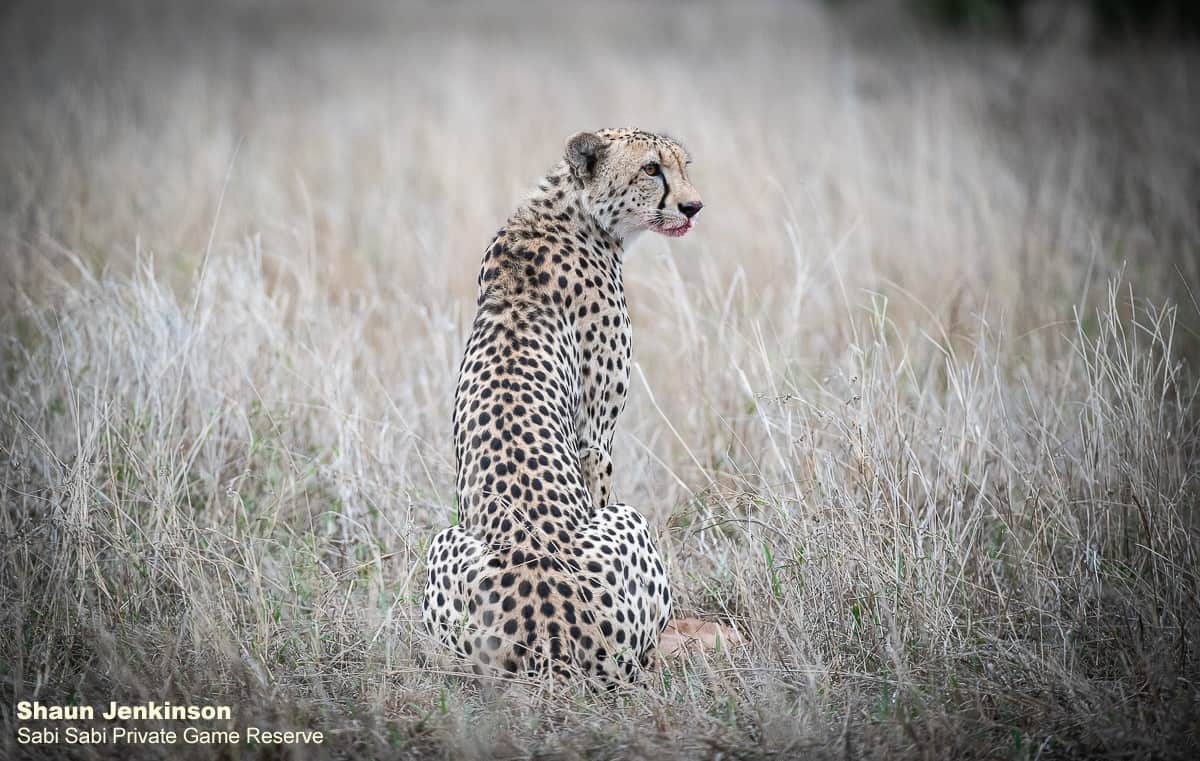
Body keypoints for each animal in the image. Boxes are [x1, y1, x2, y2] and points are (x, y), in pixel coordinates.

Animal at [420, 128, 703, 685]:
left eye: (683, 165)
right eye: (651, 169)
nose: (693, 206)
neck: (570, 213)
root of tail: (549, 642)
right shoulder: (596, 435)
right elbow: (598, 473)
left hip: (448, 550)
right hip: (626, 523)